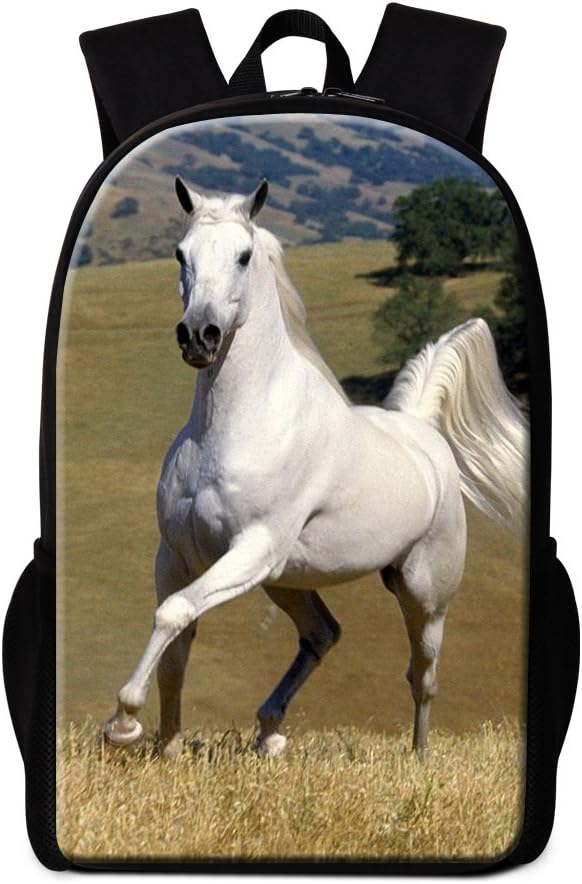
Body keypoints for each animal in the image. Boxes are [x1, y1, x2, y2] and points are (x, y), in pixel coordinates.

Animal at [104, 178, 528, 760]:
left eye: (243, 255)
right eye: (180, 253)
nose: (198, 335)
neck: (234, 428)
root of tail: (421, 432)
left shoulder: (252, 547)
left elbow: (173, 614)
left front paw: (123, 724)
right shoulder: (177, 555)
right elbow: (176, 644)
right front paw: (167, 750)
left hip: (423, 592)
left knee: (422, 676)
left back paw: (417, 759)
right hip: (285, 580)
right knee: (323, 633)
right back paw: (269, 732)